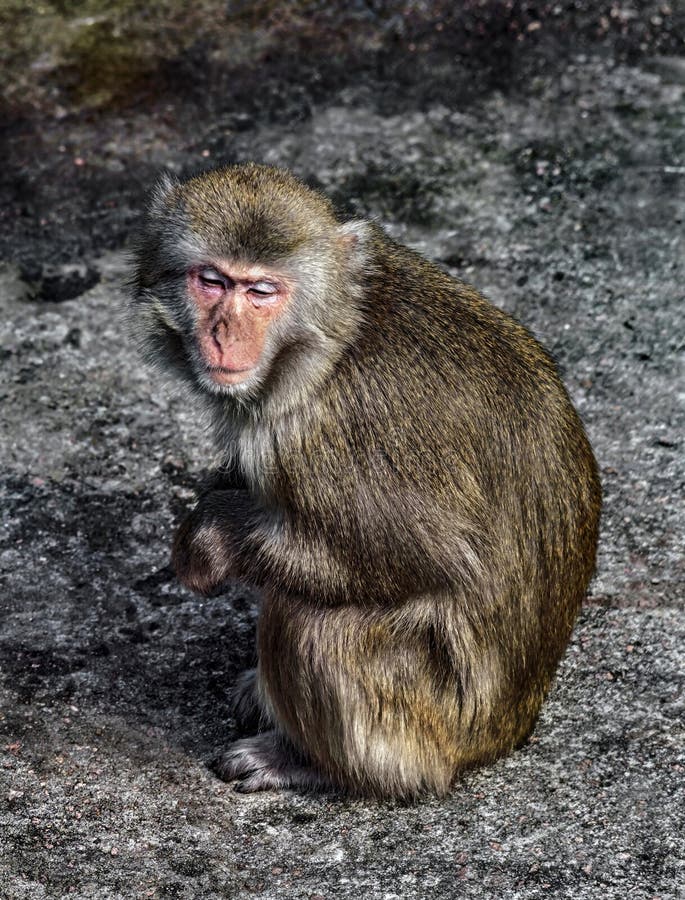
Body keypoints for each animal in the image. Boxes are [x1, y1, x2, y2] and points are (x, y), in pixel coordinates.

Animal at [129, 162, 601, 799]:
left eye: (261, 292)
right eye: (211, 281)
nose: (223, 333)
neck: (333, 340)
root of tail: (504, 737)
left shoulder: (332, 433)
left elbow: (424, 557)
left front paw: (208, 538)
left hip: (421, 724)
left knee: (309, 622)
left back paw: (312, 763)